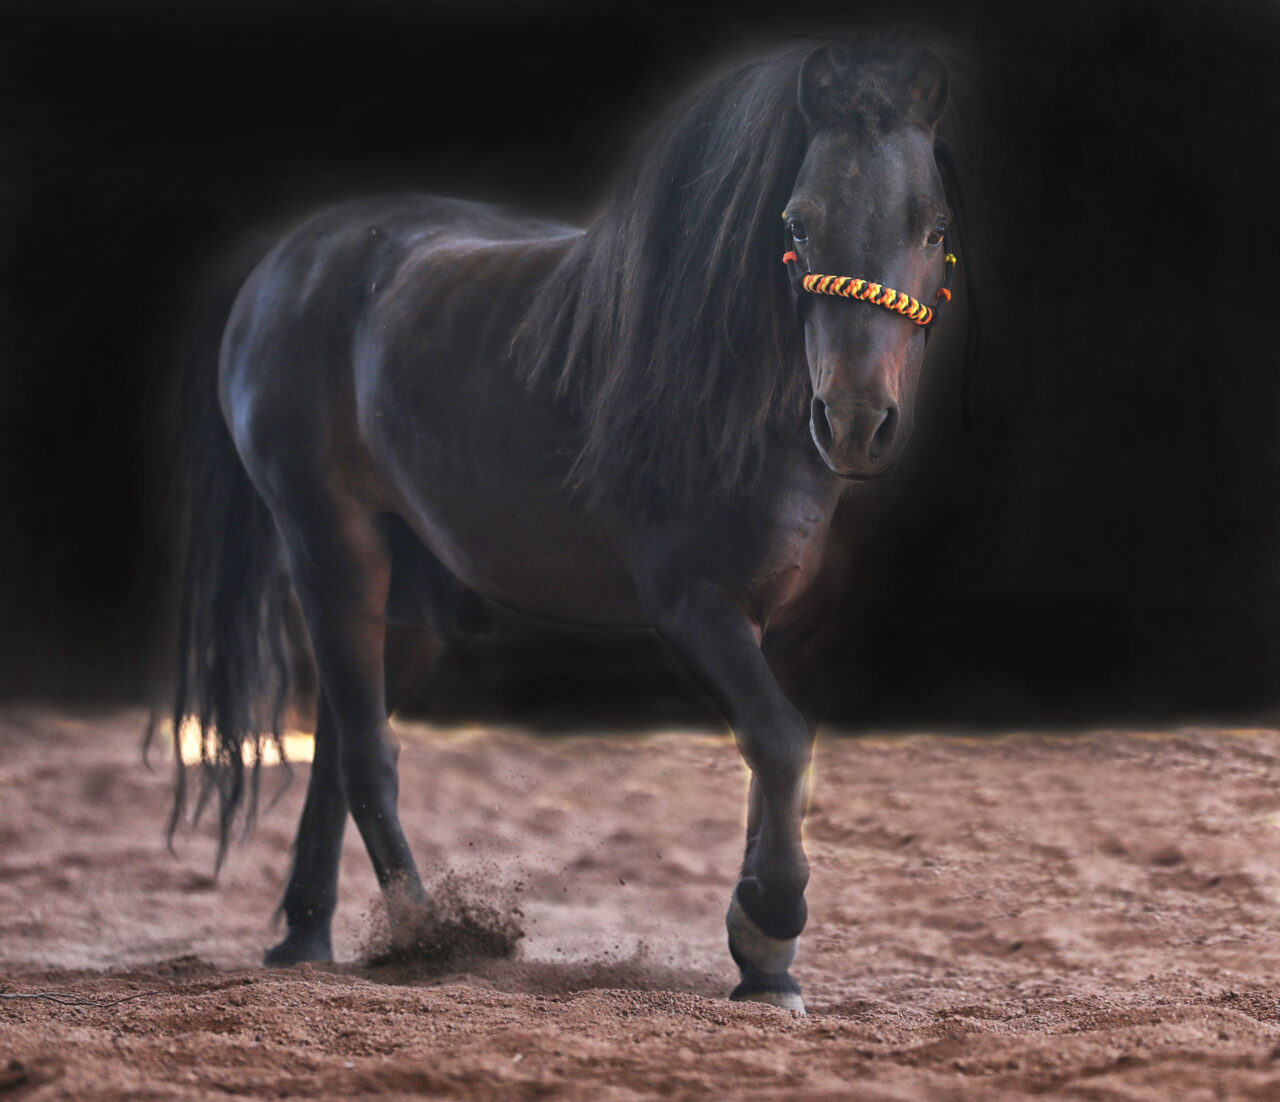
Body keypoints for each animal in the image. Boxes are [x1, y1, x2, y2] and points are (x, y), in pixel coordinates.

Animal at [167, 38, 966, 1014]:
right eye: (797, 224)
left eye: (934, 228)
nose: (854, 423)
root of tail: (284, 262)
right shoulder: (694, 604)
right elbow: (779, 744)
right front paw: (768, 934)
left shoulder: (781, 629)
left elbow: (775, 755)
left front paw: (761, 959)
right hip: (333, 550)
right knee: (363, 752)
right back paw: (428, 936)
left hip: (412, 598)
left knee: (336, 739)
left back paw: (307, 936)